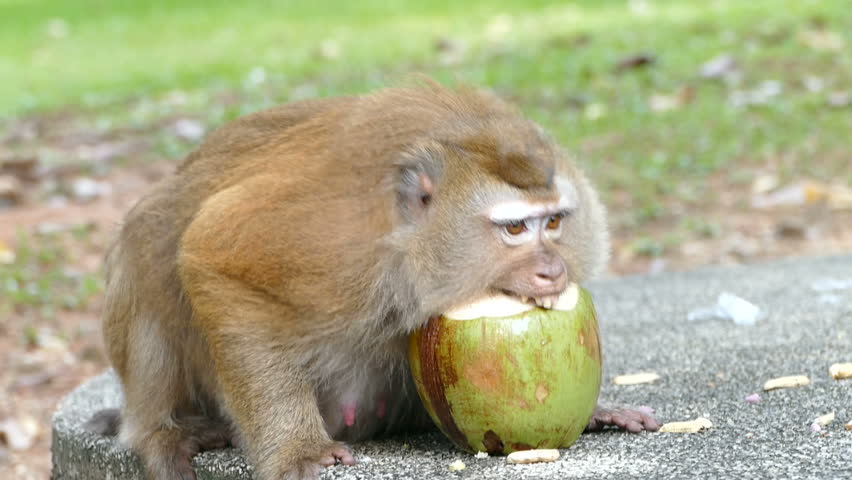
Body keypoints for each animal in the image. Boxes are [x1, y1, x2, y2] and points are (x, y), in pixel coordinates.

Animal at [85, 81, 659, 480]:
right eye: (515, 229)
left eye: (556, 222)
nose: (554, 270)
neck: (401, 241)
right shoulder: (329, 235)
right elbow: (214, 252)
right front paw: (294, 447)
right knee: (148, 241)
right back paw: (158, 431)